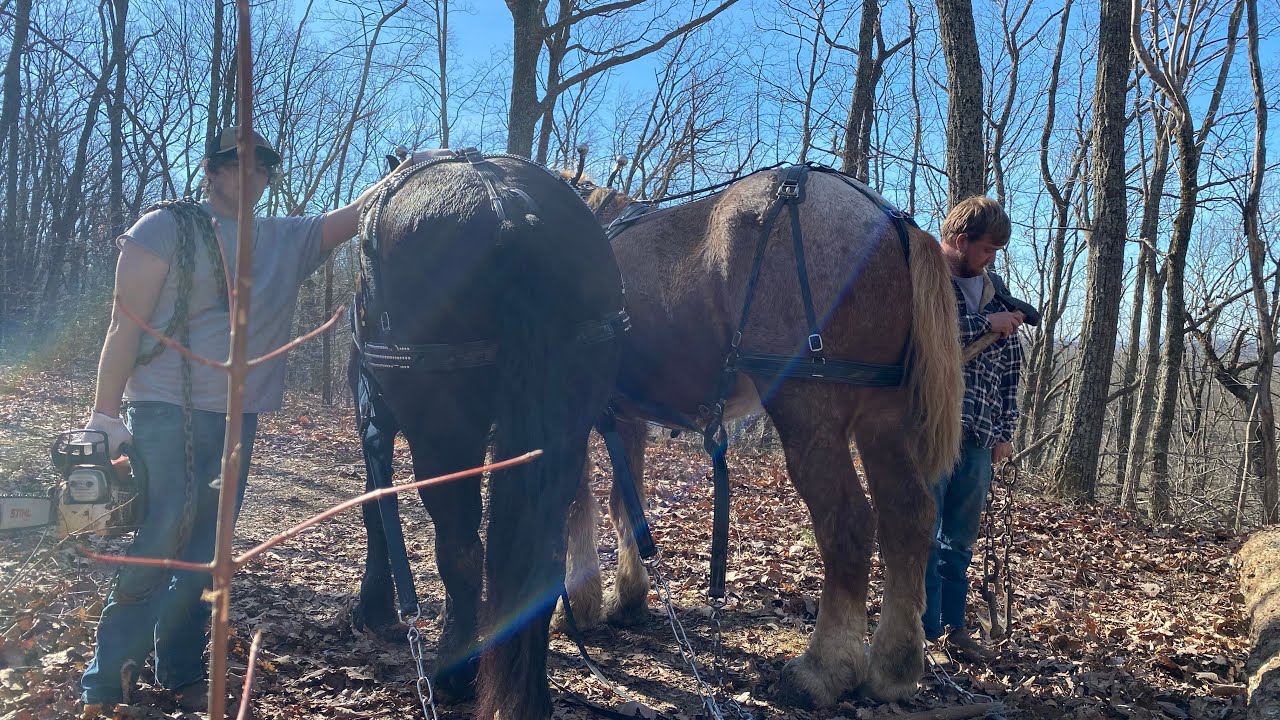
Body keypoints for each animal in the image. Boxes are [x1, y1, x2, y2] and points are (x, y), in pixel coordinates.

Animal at [347, 149, 625, 720]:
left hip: (445, 437)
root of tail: (511, 213)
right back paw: (532, 694)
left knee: (460, 549)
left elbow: (375, 505)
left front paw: (373, 608)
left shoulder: (374, 413)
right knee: (543, 559)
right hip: (566, 429)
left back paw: (452, 672)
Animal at [560, 166, 963, 707]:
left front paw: (577, 605)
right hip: (884, 420)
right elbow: (626, 505)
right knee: (909, 518)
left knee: (849, 523)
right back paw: (894, 668)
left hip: (807, 409)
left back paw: (822, 669)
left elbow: (576, 501)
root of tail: (891, 222)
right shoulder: (627, 416)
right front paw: (629, 598)